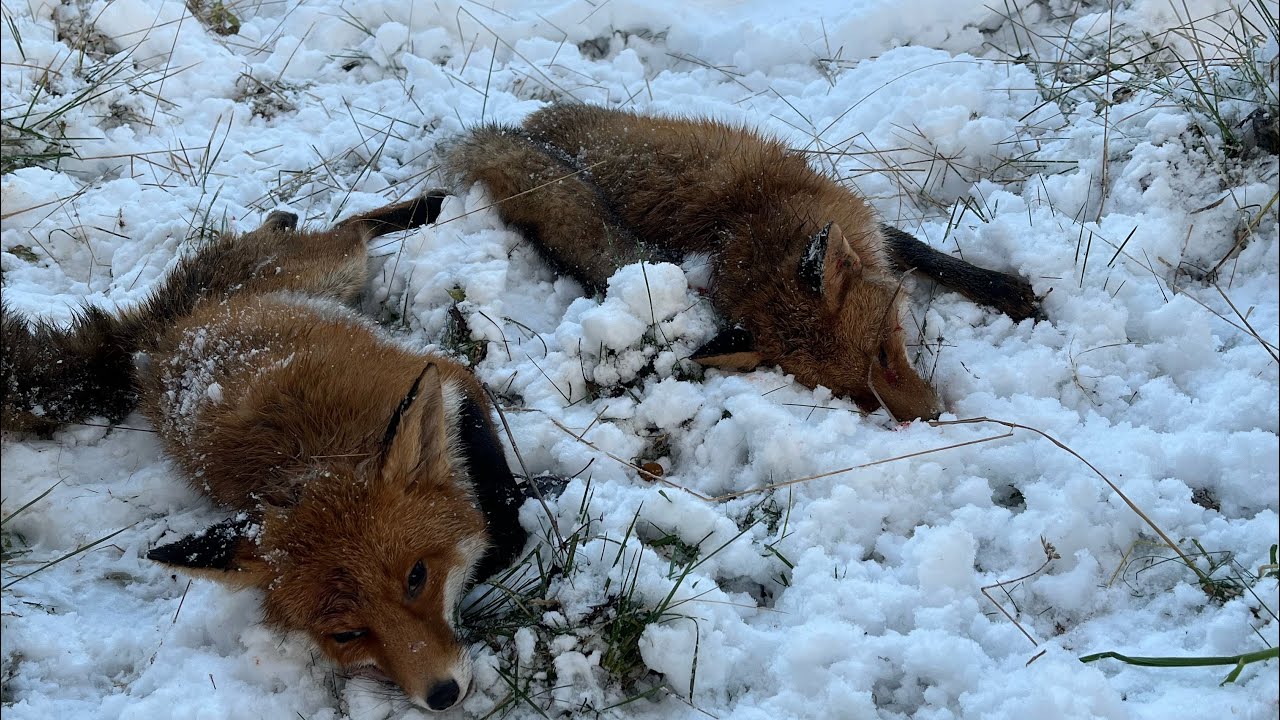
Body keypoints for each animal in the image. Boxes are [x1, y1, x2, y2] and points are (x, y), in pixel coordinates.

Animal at [1, 195, 527, 712]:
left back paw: (418, 207)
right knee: (342, 225)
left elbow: (500, 510)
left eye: (417, 578)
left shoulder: (449, 376)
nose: (443, 695)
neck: (315, 455)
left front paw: (502, 534)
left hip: (338, 267)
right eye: (348, 634)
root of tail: (166, 328)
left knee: (350, 225)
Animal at [444, 104, 1043, 421]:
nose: (937, 418)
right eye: (857, 396)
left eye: (884, 353)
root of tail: (528, 126)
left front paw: (1008, 291)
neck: (747, 216)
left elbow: (925, 254)